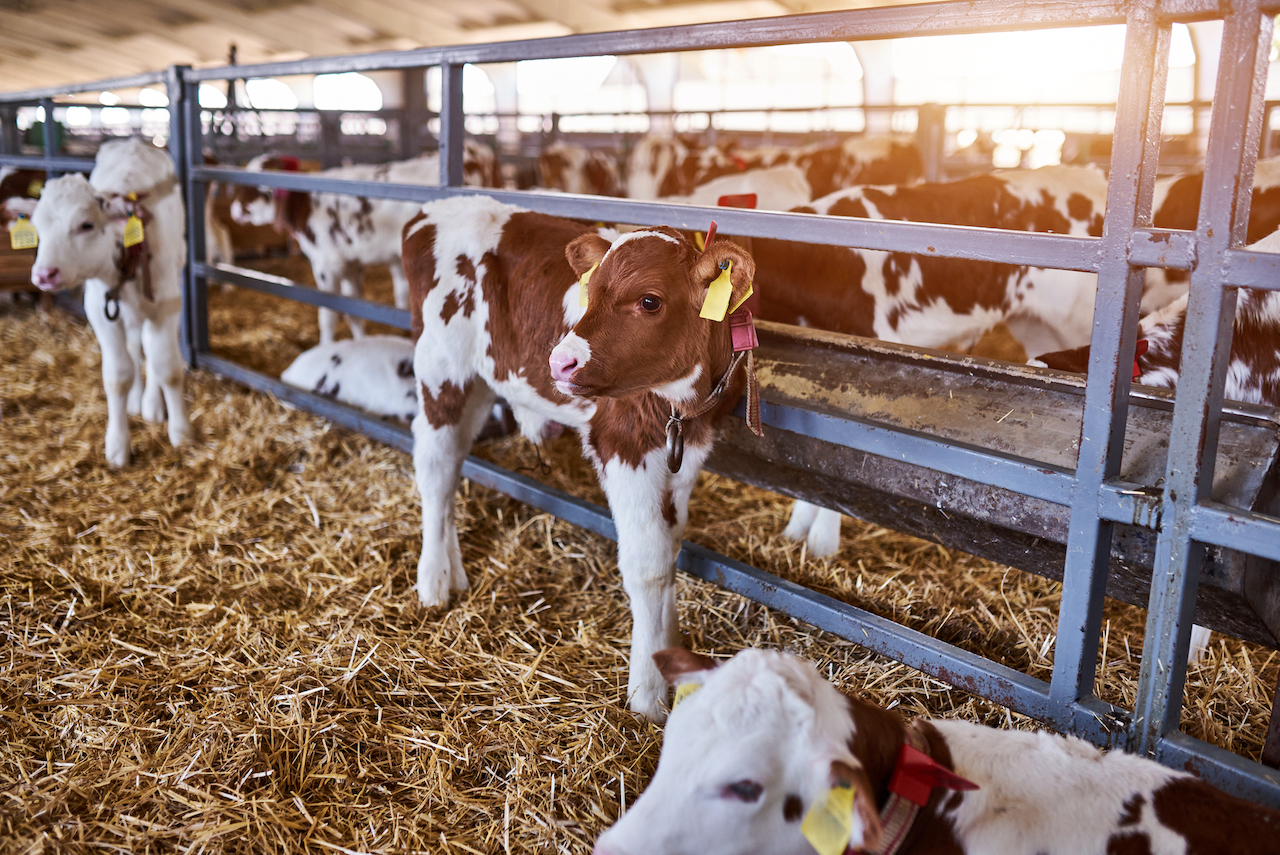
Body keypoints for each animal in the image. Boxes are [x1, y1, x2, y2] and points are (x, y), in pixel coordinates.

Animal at [1, 137, 190, 468]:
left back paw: (152, 404)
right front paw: (117, 444)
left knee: (149, 348)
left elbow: (167, 366)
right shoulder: (100, 310)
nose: (44, 274)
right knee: (133, 348)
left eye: (86, 225)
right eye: (37, 227)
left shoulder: (166, 302)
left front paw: (181, 432)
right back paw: (136, 400)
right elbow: (117, 375)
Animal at [229, 144, 494, 345]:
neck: (308, 204)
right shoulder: (351, 265)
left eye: (256, 187)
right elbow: (354, 311)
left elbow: (328, 315)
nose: (234, 210)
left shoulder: (326, 266)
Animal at [403, 194, 756, 721]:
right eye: (591, 294)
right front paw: (648, 693)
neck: (680, 408)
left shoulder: (688, 452)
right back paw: (432, 582)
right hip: (440, 369)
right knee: (435, 464)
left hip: (483, 379)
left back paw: (454, 573)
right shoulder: (623, 444)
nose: (558, 362)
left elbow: (670, 546)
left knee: (454, 464)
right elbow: (649, 563)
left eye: (649, 300)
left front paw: (670, 651)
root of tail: (435, 207)